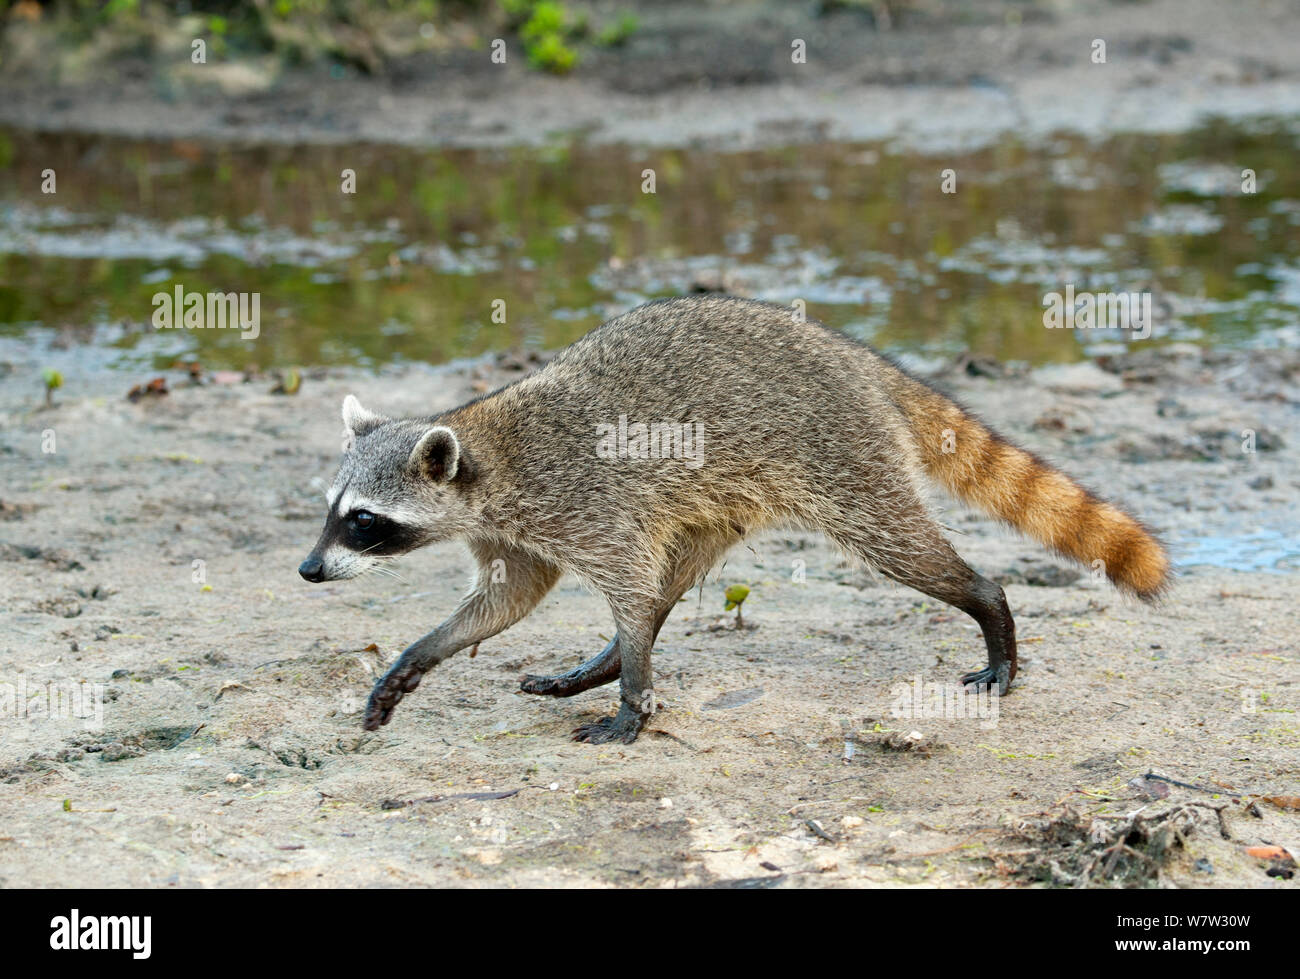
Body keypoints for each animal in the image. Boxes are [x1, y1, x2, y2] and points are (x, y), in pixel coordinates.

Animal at [300, 296, 1169, 744]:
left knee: (902, 547)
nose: (307, 569)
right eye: (331, 513)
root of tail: (855, 357)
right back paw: (600, 664)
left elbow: (625, 584)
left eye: (365, 522)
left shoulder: (584, 500)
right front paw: (417, 656)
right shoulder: (516, 529)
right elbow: (508, 601)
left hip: (845, 459)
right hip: (724, 498)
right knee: (673, 577)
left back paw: (992, 611)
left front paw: (634, 702)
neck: (485, 458)